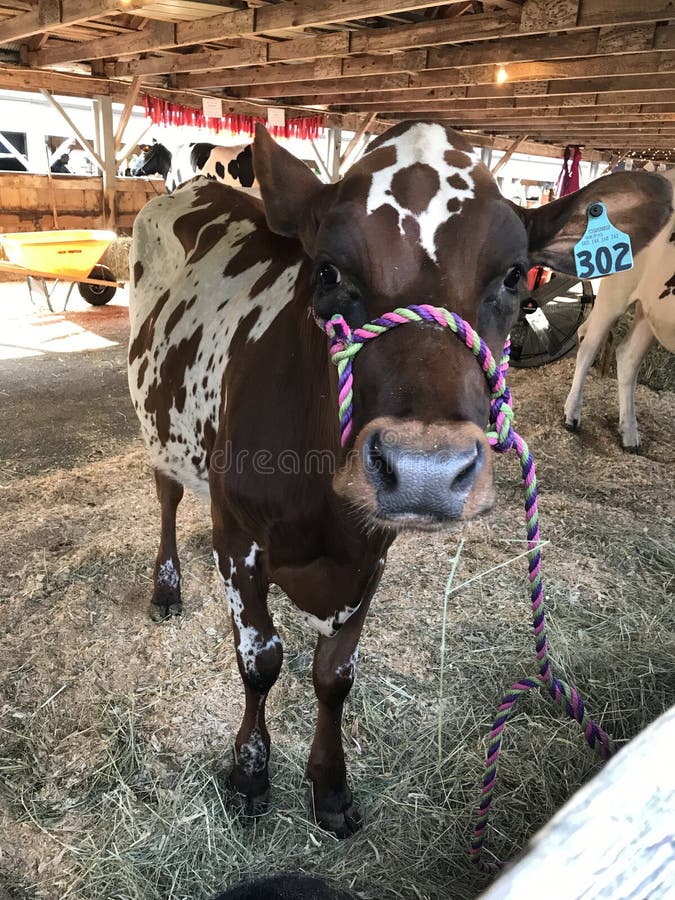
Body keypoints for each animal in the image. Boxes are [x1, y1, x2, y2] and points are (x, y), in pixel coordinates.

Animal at [563, 168, 675, 451]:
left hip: (650, 310)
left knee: (627, 356)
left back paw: (629, 434)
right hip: (616, 290)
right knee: (589, 344)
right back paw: (572, 415)